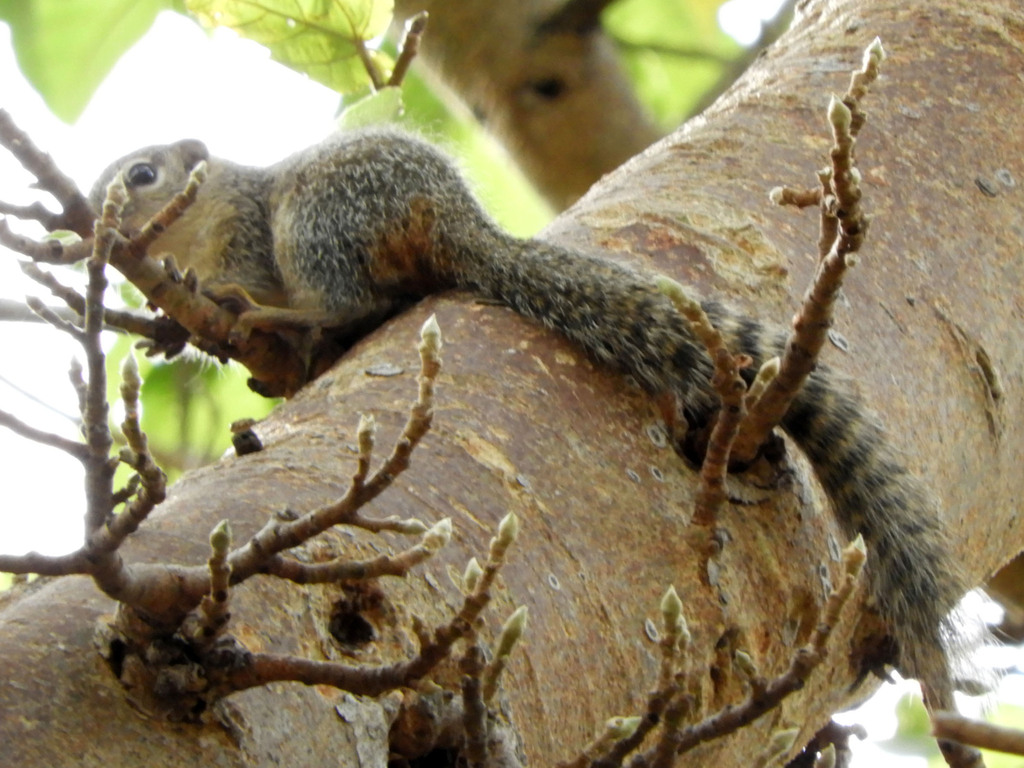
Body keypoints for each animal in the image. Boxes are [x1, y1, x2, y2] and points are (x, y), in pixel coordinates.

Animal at [90, 127, 973, 713]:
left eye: (143, 173)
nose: (103, 219)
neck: (202, 229)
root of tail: (452, 222)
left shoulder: (247, 237)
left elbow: (239, 287)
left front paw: (217, 305)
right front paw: (168, 328)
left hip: (319, 224)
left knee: (351, 299)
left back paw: (286, 313)